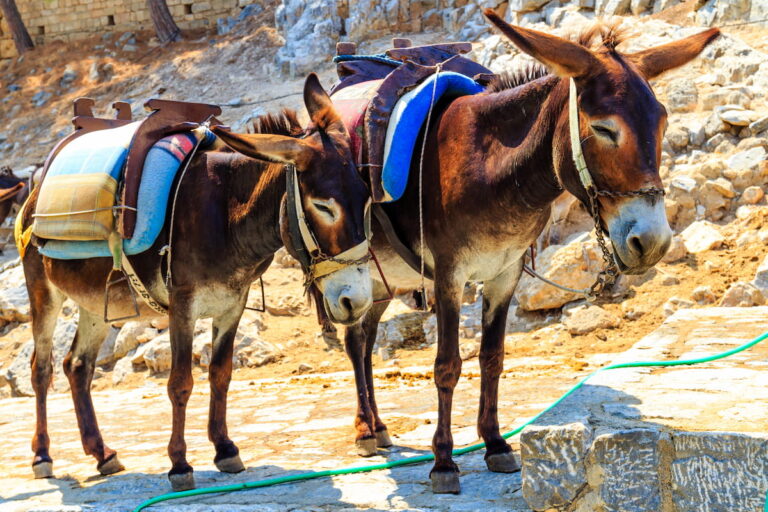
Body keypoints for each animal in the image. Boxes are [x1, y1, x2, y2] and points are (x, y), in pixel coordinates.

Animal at [19, 74, 374, 491]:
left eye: (368, 199)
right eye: (322, 206)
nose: (357, 301)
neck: (226, 211)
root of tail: (36, 185)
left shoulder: (233, 302)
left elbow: (221, 374)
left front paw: (225, 449)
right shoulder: (182, 305)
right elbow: (180, 382)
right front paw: (179, 464)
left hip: (95, 303)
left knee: (77, 365)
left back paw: (102, 454)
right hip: (43, 291)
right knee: (41, 368)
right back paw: (43, 457)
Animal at [339, 14, 720, 493]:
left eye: (663, 125)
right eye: (603, 128)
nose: (652, 243)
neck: (490, 166)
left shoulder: (505, 272)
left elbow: (493, 359)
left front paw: (496, 444)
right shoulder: (449, 275)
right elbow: (447, 364)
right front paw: (443, 462)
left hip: (381, 279)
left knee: (367, 338)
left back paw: (378, 426)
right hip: (353, 269)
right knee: (354, 341)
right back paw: (364, 431)